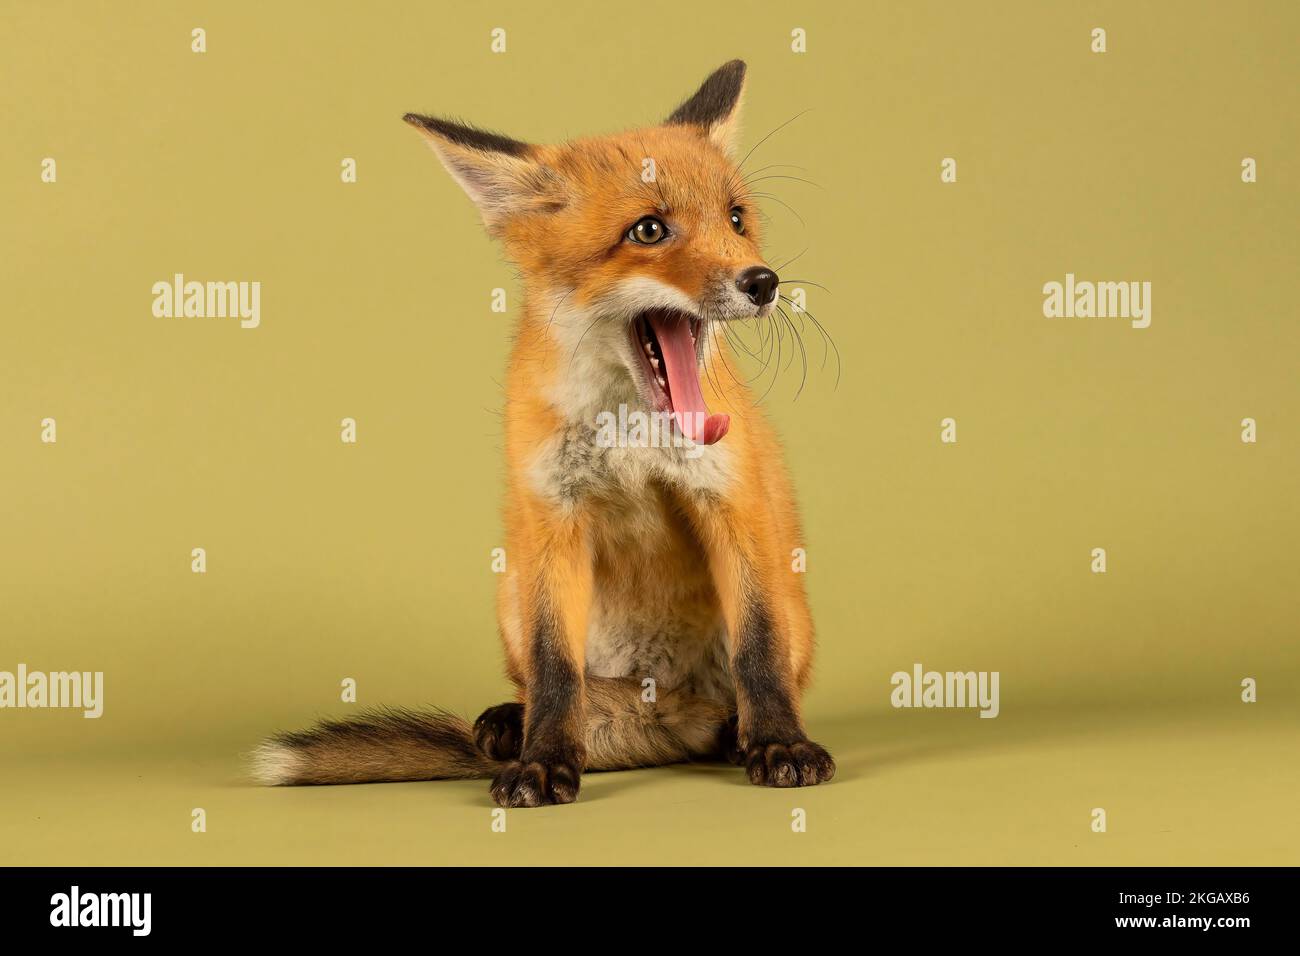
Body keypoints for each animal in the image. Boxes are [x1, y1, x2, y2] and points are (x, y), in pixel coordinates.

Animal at [252, 60, 835, 806]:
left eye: (736, 218)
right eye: (650, 230)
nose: (763, 282)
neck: (630, 439)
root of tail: (665, 704)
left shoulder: (733, 503)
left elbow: (758, 649)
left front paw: (778, 744)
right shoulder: (553, 518)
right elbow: (555, 668)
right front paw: (546, 760)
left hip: (793, 605)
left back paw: (736, 733)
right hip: (512, 583)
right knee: (543, 680)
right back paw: (510, 724)